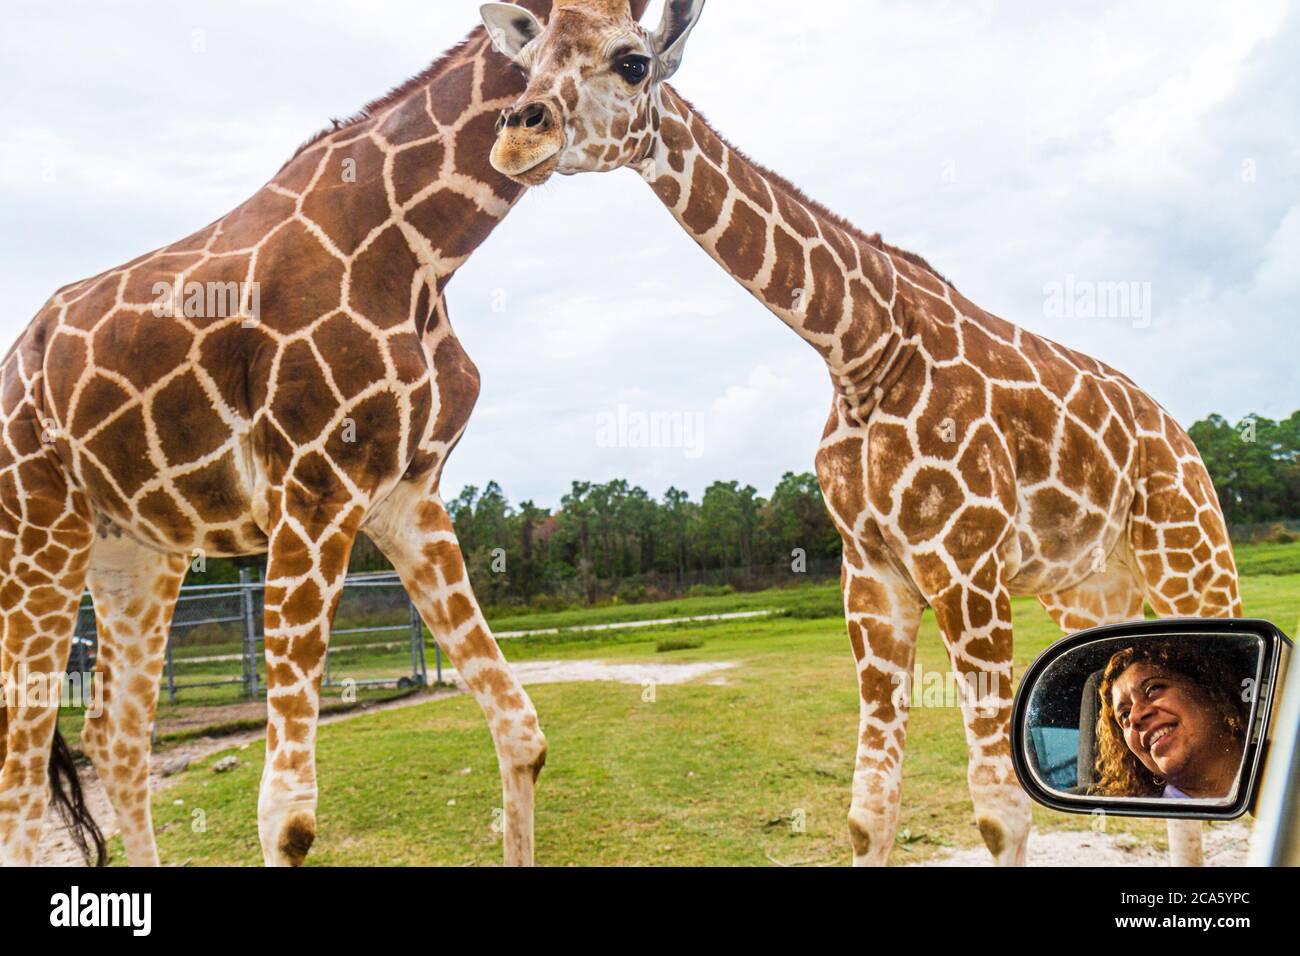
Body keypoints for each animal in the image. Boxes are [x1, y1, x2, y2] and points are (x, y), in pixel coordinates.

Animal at [0, 0, 648, 868]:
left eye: (638, 58)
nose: (523, 136)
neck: (422, 252)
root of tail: (14, 361)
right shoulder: (312, 484)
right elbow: (289, 816)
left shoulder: (407, 494)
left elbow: (522, 732)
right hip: (39, 533)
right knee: (24, 759)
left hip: (134, 550)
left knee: (114, 735)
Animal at [481, 0, 1240, 866]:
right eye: (527, 62)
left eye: (632, 62)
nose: (517, 136)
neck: (861, 348)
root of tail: (1182, 438)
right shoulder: (871, 579)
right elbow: (868, 809)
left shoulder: (967, 567)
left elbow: (1001, 813)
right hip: (1090, 592)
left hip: (1194, 564)